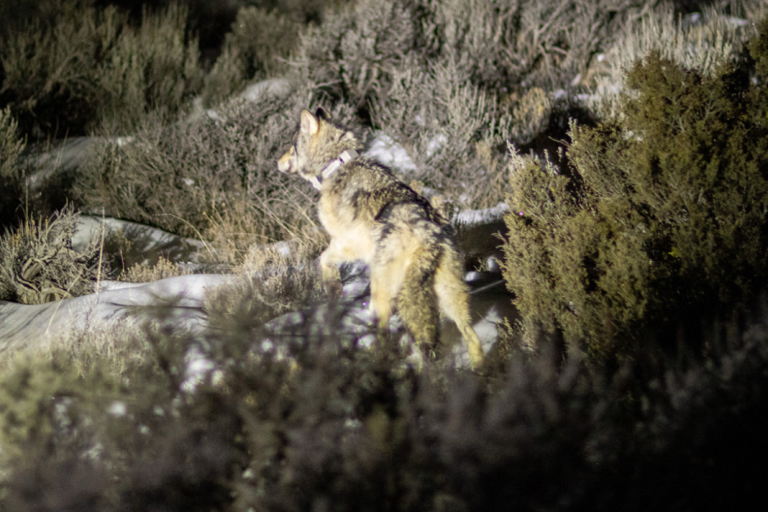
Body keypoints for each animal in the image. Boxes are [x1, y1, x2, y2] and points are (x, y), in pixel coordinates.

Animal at [278, 107, 484, 367]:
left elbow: (323, 259)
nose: (277, 162)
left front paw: (333, 288)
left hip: (383, 289)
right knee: (472, 337)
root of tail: (427, 237)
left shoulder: (347, 243)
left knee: (385, 335)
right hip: (451, 297)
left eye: (291, 147)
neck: (336, 164)